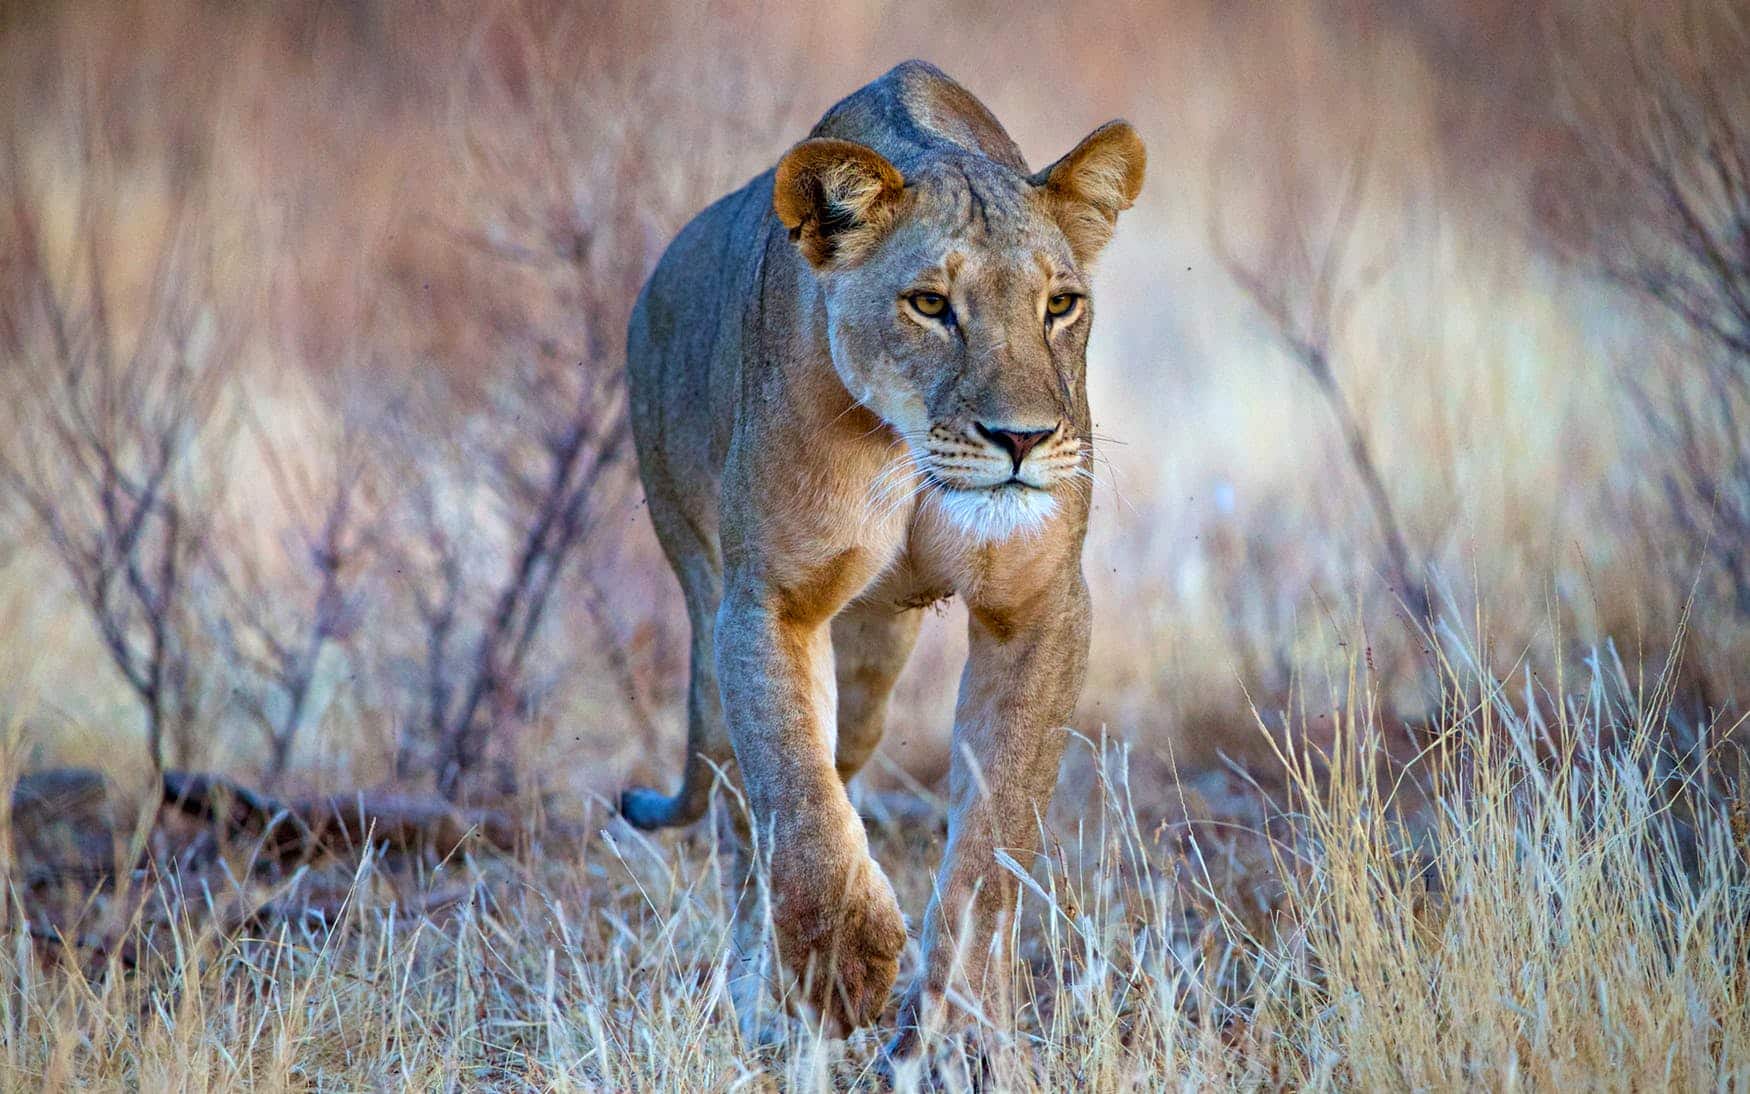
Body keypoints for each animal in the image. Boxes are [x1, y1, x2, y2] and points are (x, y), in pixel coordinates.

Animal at [618, 60, 1145, 1052]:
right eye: (931, 304)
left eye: (1060, 304)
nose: (1023, 439)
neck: (907, 449)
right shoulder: (770, 601)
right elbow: (796, 789)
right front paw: (846, 962)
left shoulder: (1040, 608)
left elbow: (994, 835)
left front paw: (964, 1033)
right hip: (700, 574)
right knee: (750, 814)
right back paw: (759, 1005)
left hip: (868, 669)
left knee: (842, 754)